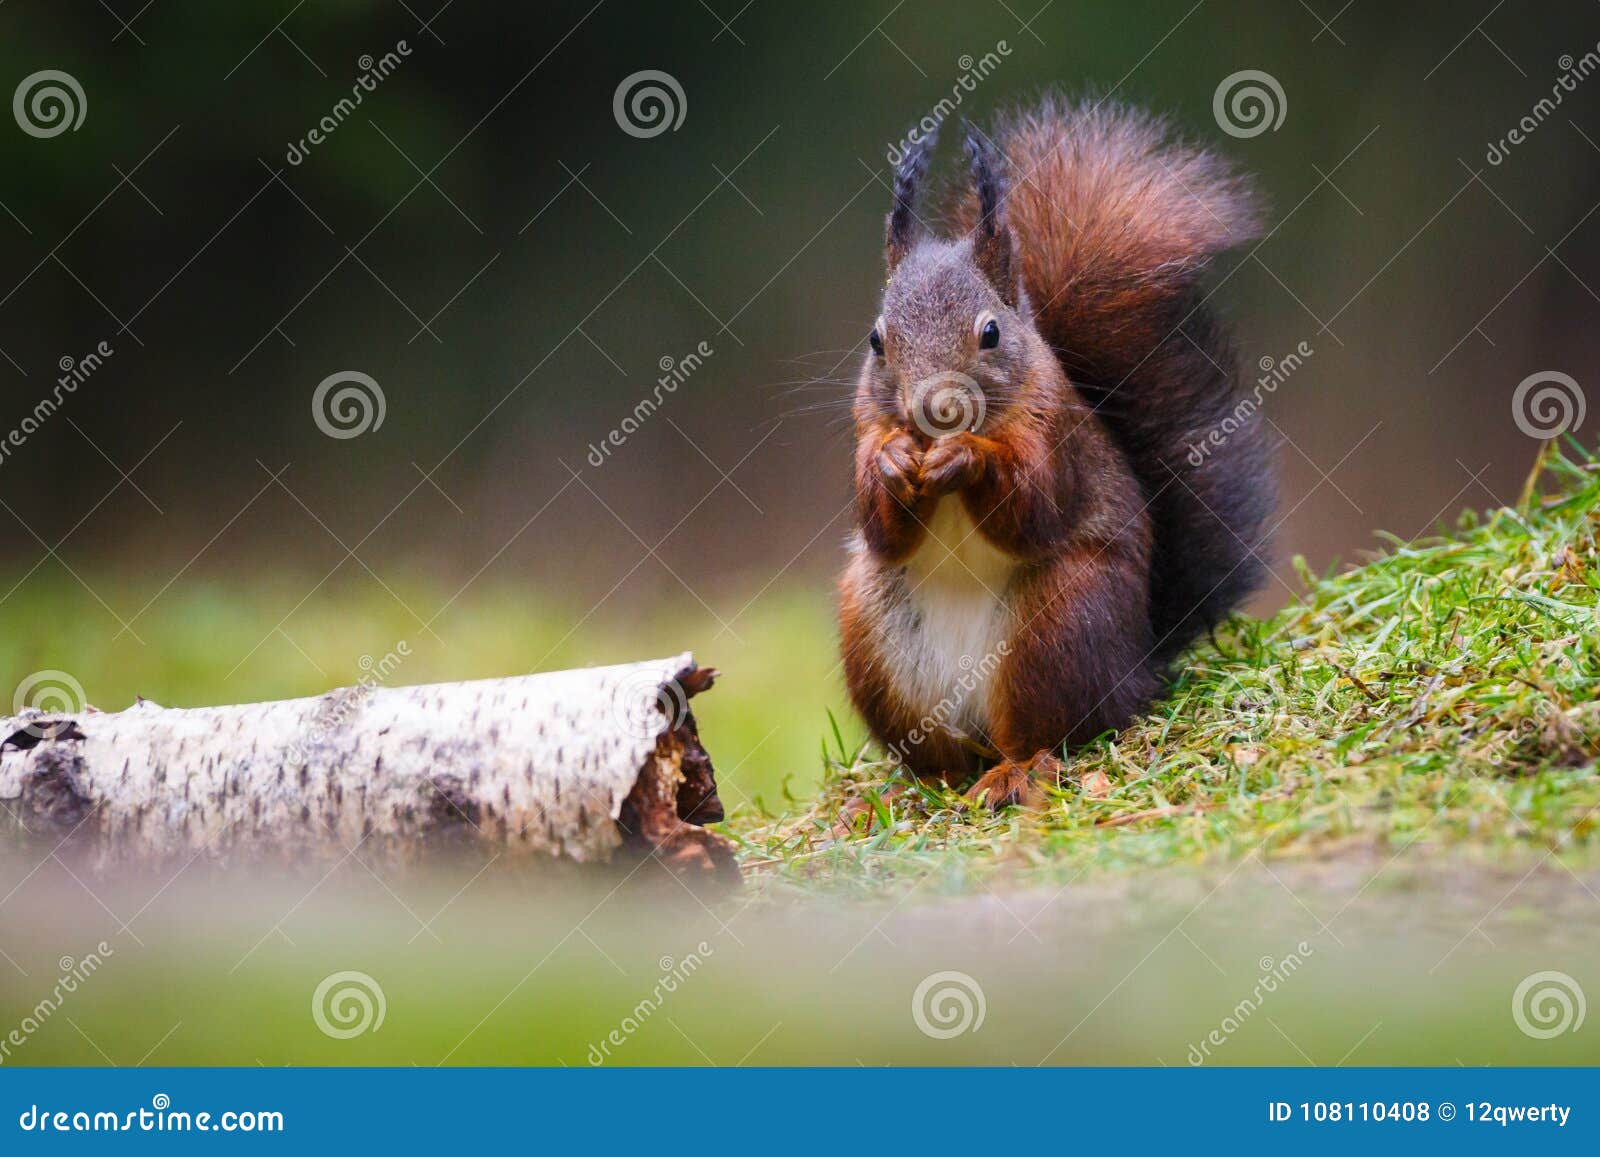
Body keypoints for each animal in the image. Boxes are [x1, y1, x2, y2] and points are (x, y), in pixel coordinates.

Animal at [837, 95, 1274, 810]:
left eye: (990, 332)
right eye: (877, 340)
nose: (934, 408)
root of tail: (1137, 666)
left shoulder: (1055, 436)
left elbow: (1035, 508)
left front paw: (968, 459)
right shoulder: (865, 428)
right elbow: (881, 528)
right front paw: (892, 464)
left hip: (1060, 625)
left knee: (1053, 730)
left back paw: (1015, 772)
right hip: (875, 637)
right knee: (939, 757)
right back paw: (910, 793)